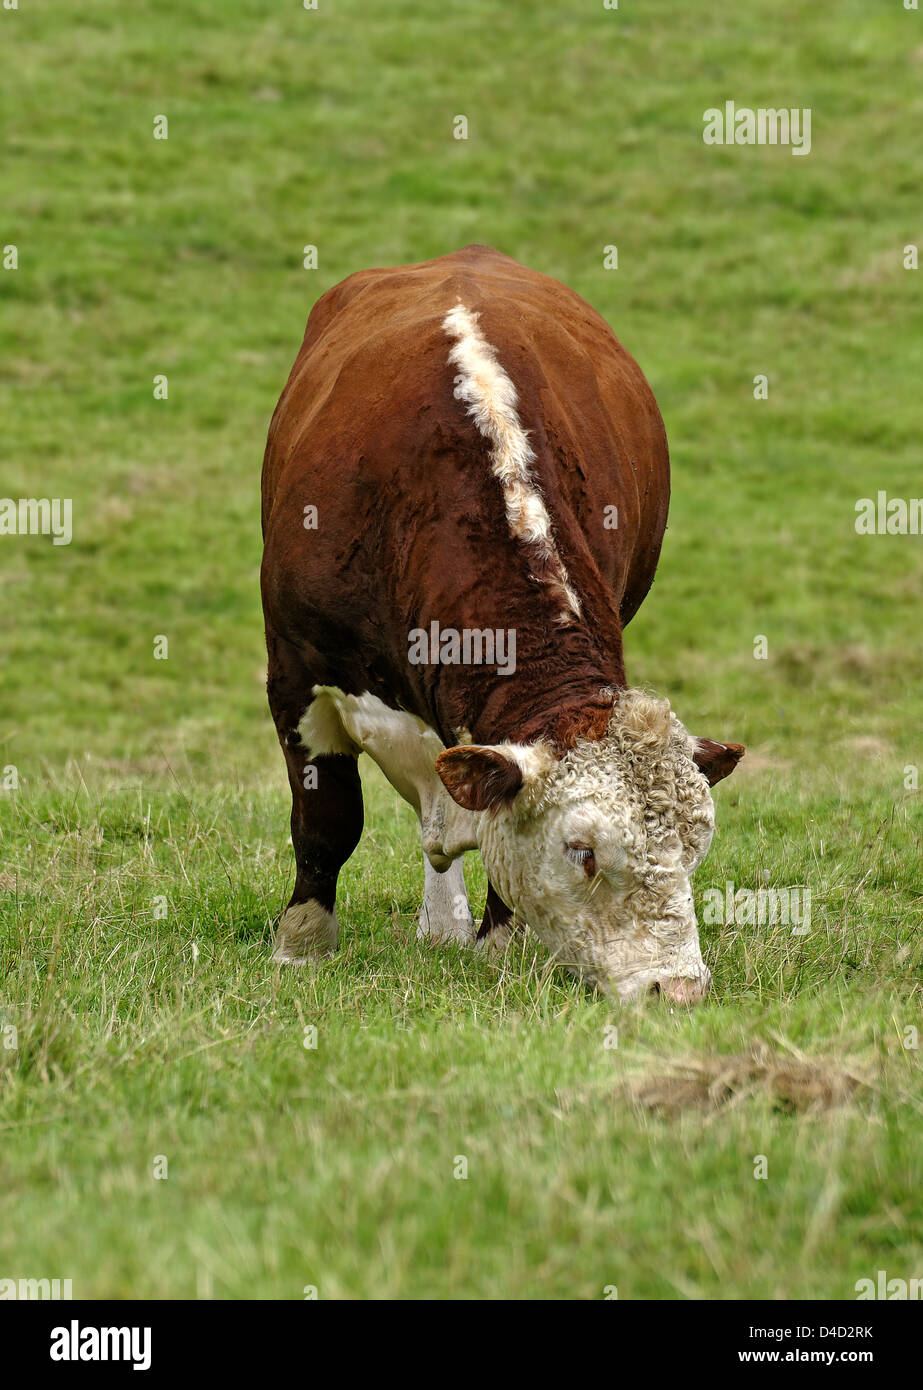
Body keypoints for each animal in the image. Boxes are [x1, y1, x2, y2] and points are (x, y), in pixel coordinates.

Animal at [260, 245, 743, 1003]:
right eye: (583, 852)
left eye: (695, 851)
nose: (678, 989)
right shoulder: (295, 668)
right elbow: (327, 821)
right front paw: (302, 945)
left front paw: (499, 947)